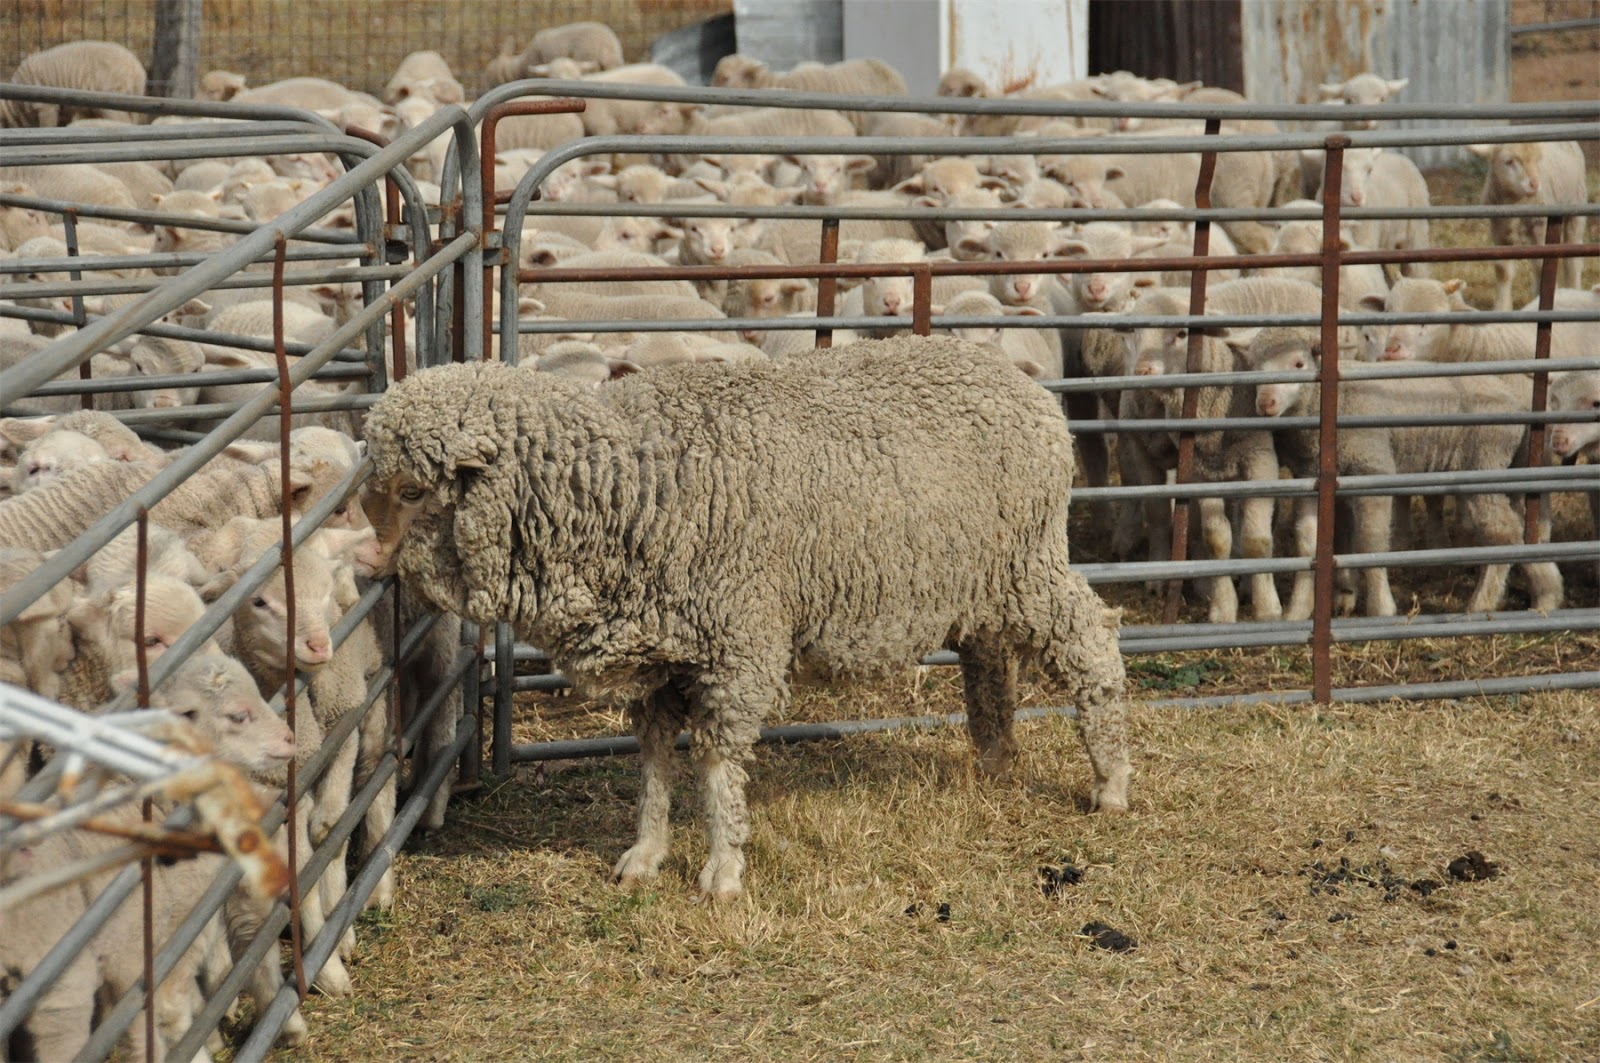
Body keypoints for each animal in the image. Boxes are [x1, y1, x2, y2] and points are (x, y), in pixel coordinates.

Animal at [2, 41, 146, 127]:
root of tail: (137, 70)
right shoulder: (63, 111)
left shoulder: (45, 107)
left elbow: (48, 124)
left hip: (113, 94)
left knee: (122, 120)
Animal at [360, 342, 1131, 898]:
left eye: (412, 490)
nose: (365, 557)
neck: (630, 485)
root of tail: (1026, 389)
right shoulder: (660, 653)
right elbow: (653, 758)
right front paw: (645, 854)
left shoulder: (738, 641)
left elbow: (717, 759)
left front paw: (723, 868)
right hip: (981, 578)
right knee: (986, 654)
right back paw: (996, 758)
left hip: (1028, 564)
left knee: (1091, 645)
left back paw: (1111, 782)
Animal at [1250, 327, 1563, 617]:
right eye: (1254, 367)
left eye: (1299, 364)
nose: (1265, 404)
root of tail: (1516, 400)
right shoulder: (1312, 478)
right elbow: (1309, 545)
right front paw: (1300, 610)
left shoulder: (1372, 469)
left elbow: (1370, 541)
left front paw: (1381, 608)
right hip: (1510, 468)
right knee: (1526, 529)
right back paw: (1547, 593)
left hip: (1483, 463)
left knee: (1503, 532)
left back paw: (1481, 603)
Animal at [1468, 140, 1589, 309]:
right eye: (1509, 161)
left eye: (1537, 160)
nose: (1535, 184)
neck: (1515, 201)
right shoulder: (1499, 230)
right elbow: (1503, 271)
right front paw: (1502, 307)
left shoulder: (1540, 227)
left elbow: (1542, 265)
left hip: (1576, 207)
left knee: (1572, 259)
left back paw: (1573, 288)